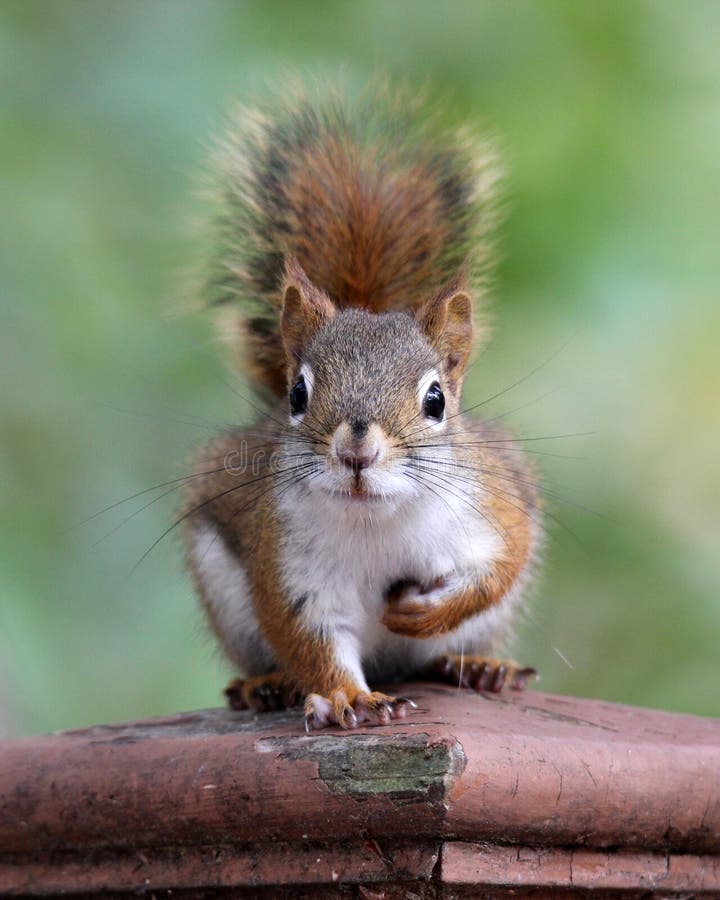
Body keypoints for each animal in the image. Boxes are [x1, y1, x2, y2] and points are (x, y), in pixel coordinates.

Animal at [182, 87, 541, 730]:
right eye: (297, 394)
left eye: (436, 399)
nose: (357, 451)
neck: (375, 520)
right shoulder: (289, 568)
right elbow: (312, 642)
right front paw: (350, 697)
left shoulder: (492, 512)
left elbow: (500, 566)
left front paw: (426, 615)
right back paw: (266, 685)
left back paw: (479, 666)